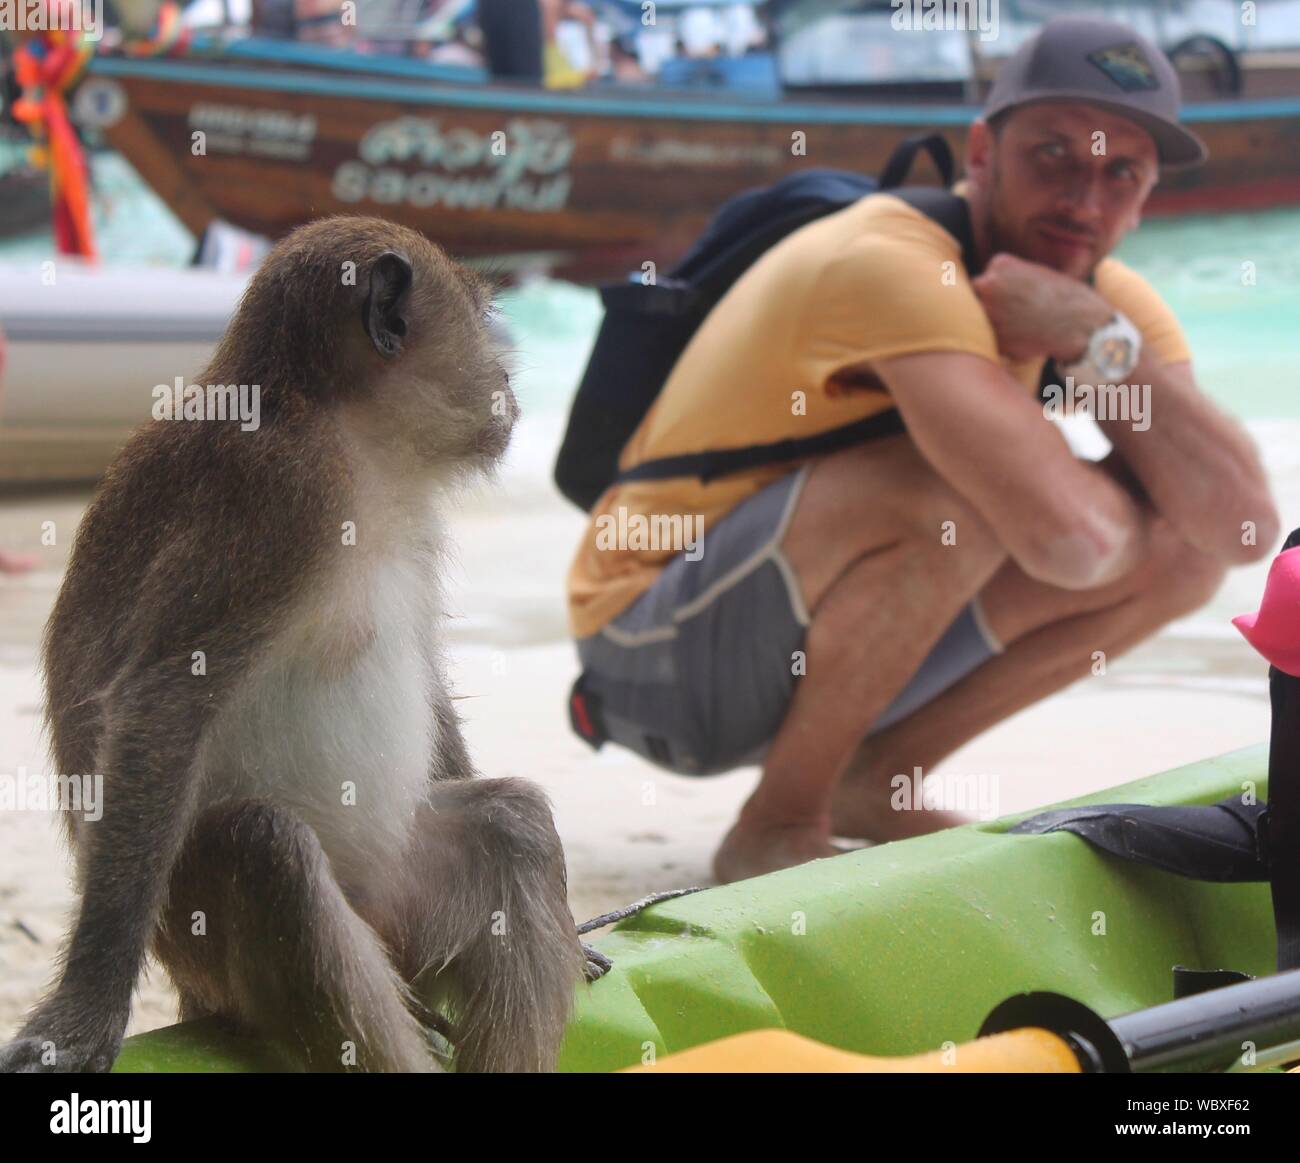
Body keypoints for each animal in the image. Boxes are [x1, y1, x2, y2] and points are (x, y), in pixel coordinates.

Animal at [0, 216, 591, 1073]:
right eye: (484, 319)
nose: (510, 386)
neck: (352, 437)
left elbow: (426, 671)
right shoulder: (281, 495)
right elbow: (165, 701)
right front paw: (86, 1011)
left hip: (401, 900)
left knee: (511, 825)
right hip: (196, 933)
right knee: (268, 853)